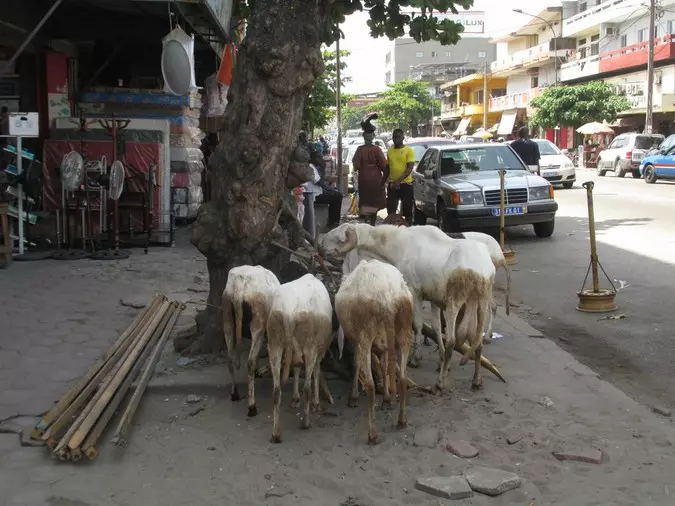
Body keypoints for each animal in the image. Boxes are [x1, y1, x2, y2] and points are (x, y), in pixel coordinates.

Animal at [222, 264, 280, 416]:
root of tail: (239, 287)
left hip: (227, 317)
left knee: (230, 357)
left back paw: (234, 394)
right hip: (257, 323)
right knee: (249, 361)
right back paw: (252, 406)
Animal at [266, 272, 336, 442]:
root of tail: (289, 312)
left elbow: (297, 368)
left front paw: (294, 399)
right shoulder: (318, 348)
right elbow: (316, 370)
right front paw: (316, 404)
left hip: (274, 342)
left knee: (276, 391)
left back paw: (276, 433)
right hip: (309, 345)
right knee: (306, 388)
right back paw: (306, 422)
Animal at [320, 223, 494, 394]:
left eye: (339, 239)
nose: (320, 245)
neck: (399, 246)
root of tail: (482, 271)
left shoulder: (414, 292)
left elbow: (417, 325)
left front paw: (415, 358)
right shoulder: (434, 299)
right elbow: (437, 328)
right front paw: (441, 361)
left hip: (455, 303)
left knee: (452, 341)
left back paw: (440, 384)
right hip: (479, 303)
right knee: (476, 340)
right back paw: (477, 380)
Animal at [336, 258, 414, 444]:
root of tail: (387, 297)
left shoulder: (357, 340)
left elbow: (357, 364)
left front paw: (354, 397)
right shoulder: (385, 344)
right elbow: (385, 367)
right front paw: (386, 400)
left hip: (365, 333)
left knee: (370, 383)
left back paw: (372, 435)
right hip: (405, 328)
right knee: (402, 376)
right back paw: (402, 421)